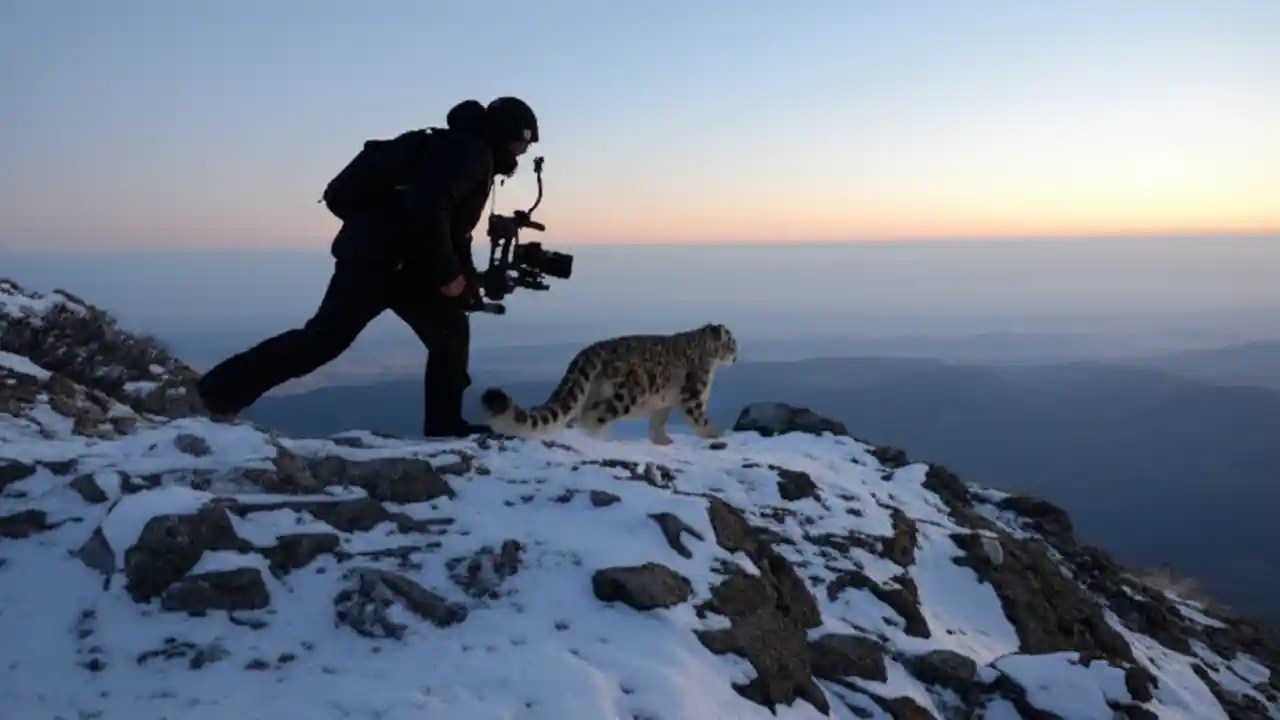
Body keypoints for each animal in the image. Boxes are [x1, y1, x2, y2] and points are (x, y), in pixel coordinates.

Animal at [479, 323, 739, 445]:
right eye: (732, 343)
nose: (737, 357)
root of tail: (588, 352)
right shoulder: (693, 394)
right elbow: (699, 417)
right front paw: (716, 433)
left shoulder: (663, 402)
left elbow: (658, 422)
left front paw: (663, 441)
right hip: (628, 394)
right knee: (595, 416)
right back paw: (601, 439)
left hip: (597, 392)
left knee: (580, 415)